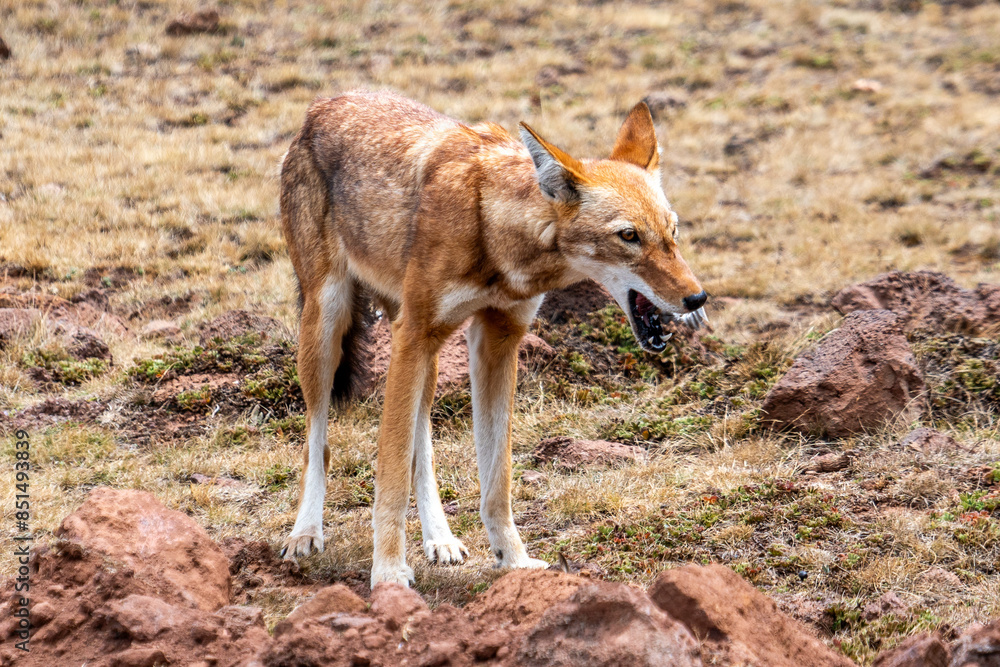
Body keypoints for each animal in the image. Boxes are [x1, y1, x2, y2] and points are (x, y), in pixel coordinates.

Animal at [278, 90, 707, 586]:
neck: (492, 229)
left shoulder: (497, 340)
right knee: (319, 444)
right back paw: (305, 533)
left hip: (425, 352)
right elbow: (389, 476)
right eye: (629, 236)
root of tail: (324, 104)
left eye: (672, 231)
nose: (697, 298)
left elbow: (495, 479)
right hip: (330, 327)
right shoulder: (417, 335)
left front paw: (513, 560)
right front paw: (387, 573)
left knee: (421, 444)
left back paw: (440, 539)